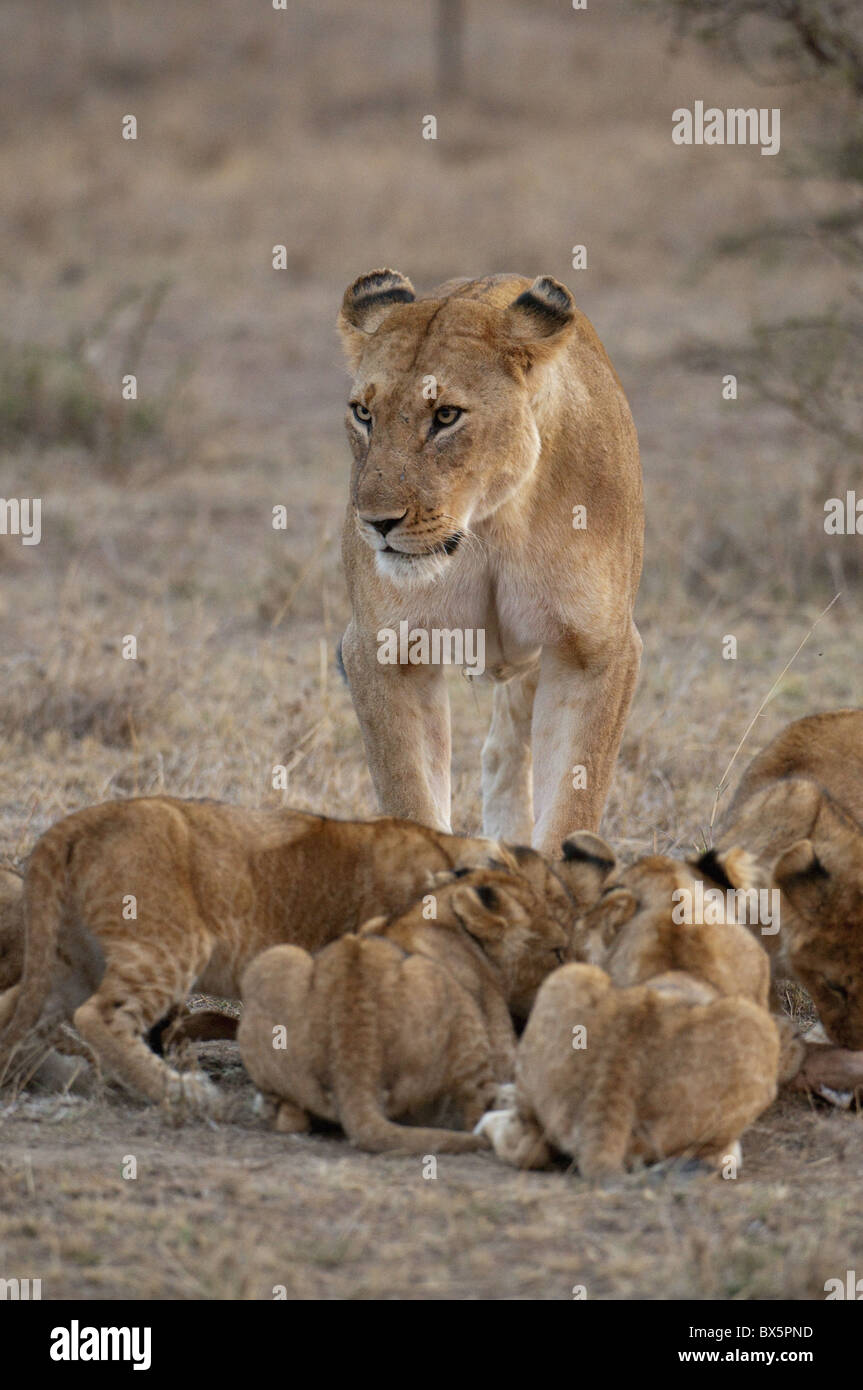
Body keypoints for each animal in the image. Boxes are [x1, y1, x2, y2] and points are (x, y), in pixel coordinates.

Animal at [0, 797, 609, 1107]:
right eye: (556, 952)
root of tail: (73, 823)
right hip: (166, 943)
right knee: (97, 1015)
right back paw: (183, 1093)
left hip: (70, 961)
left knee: (18, 1013)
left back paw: (63, 1077)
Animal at [237, 866, 571, 1154]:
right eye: (557, 951)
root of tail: (354, 1052)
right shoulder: (500, 1041)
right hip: (448, 993)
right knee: (473, 1111)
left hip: (277, 956)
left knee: (291, 1118)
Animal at [337, 270, 643, 855]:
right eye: (364, 413)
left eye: (446, 416)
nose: (375, 522)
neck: (491, 524)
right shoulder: (383, 650)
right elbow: (410, 796)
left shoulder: (595, 652)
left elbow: (573, 803)